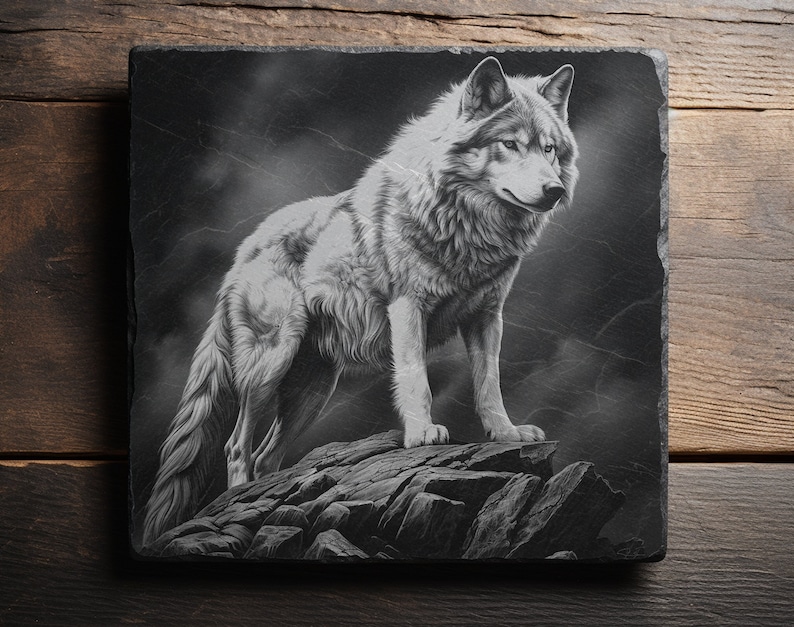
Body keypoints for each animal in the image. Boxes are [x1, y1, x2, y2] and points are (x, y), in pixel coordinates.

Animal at [142, 56, 579, 546]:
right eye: (509, 144)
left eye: (548, 149)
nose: (555, 191)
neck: (466, 227)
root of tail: (244, 249)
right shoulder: (407, 307)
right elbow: (416, 379)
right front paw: (421, 434)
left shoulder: (487, 317)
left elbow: (490, 385)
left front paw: (505, 433)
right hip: (270, 365)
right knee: (237, 446)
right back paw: (236, 502)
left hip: (312, 392)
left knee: (265, 457)